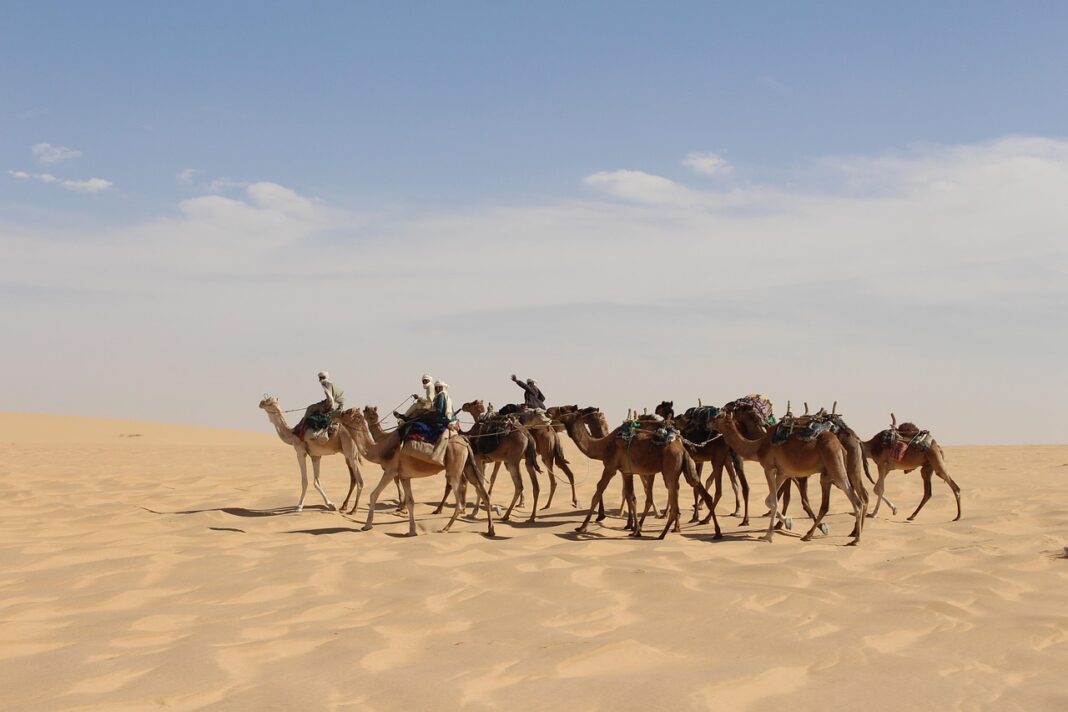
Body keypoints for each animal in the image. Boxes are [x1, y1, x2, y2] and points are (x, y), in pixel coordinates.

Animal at [336, 409, 495, 537]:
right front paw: (412, 531)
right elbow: (411, 502)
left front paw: (366, 526)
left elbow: (374, 494)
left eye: (346, 413)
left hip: (454, 470)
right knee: (483, 493)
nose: (336, 413)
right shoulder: (405, 476)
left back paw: (446, 528)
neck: (382, 450)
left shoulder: (390, 471)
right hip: (468, 467)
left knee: (460, 500)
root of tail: (465, 442)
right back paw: (490, 529)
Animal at [557, 408, 722, 539]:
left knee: (674, 501)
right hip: (686, 468)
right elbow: (632, 497)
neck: (603, 446)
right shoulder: (627, 471)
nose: (553, 416)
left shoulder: (610, 468)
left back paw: (663, 534)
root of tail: (681, 449)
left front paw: (582, 527)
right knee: (701, 492)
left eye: (565, 411)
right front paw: (635, 529)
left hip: (670, 469)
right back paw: (716, 531)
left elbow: (597, 493)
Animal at [711, 409, 866, 544]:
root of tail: (840, 446)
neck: (758, 446)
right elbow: (769, 500)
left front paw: (768, 536)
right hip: (827, 473)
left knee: (857, 500)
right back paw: (810, 535)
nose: (709, 423)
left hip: (835, 464)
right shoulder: (783, 473)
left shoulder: (769, 468)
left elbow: (773, 502)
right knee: (830, 503)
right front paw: (788, 522)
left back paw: (855, 539)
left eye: (718, 416)